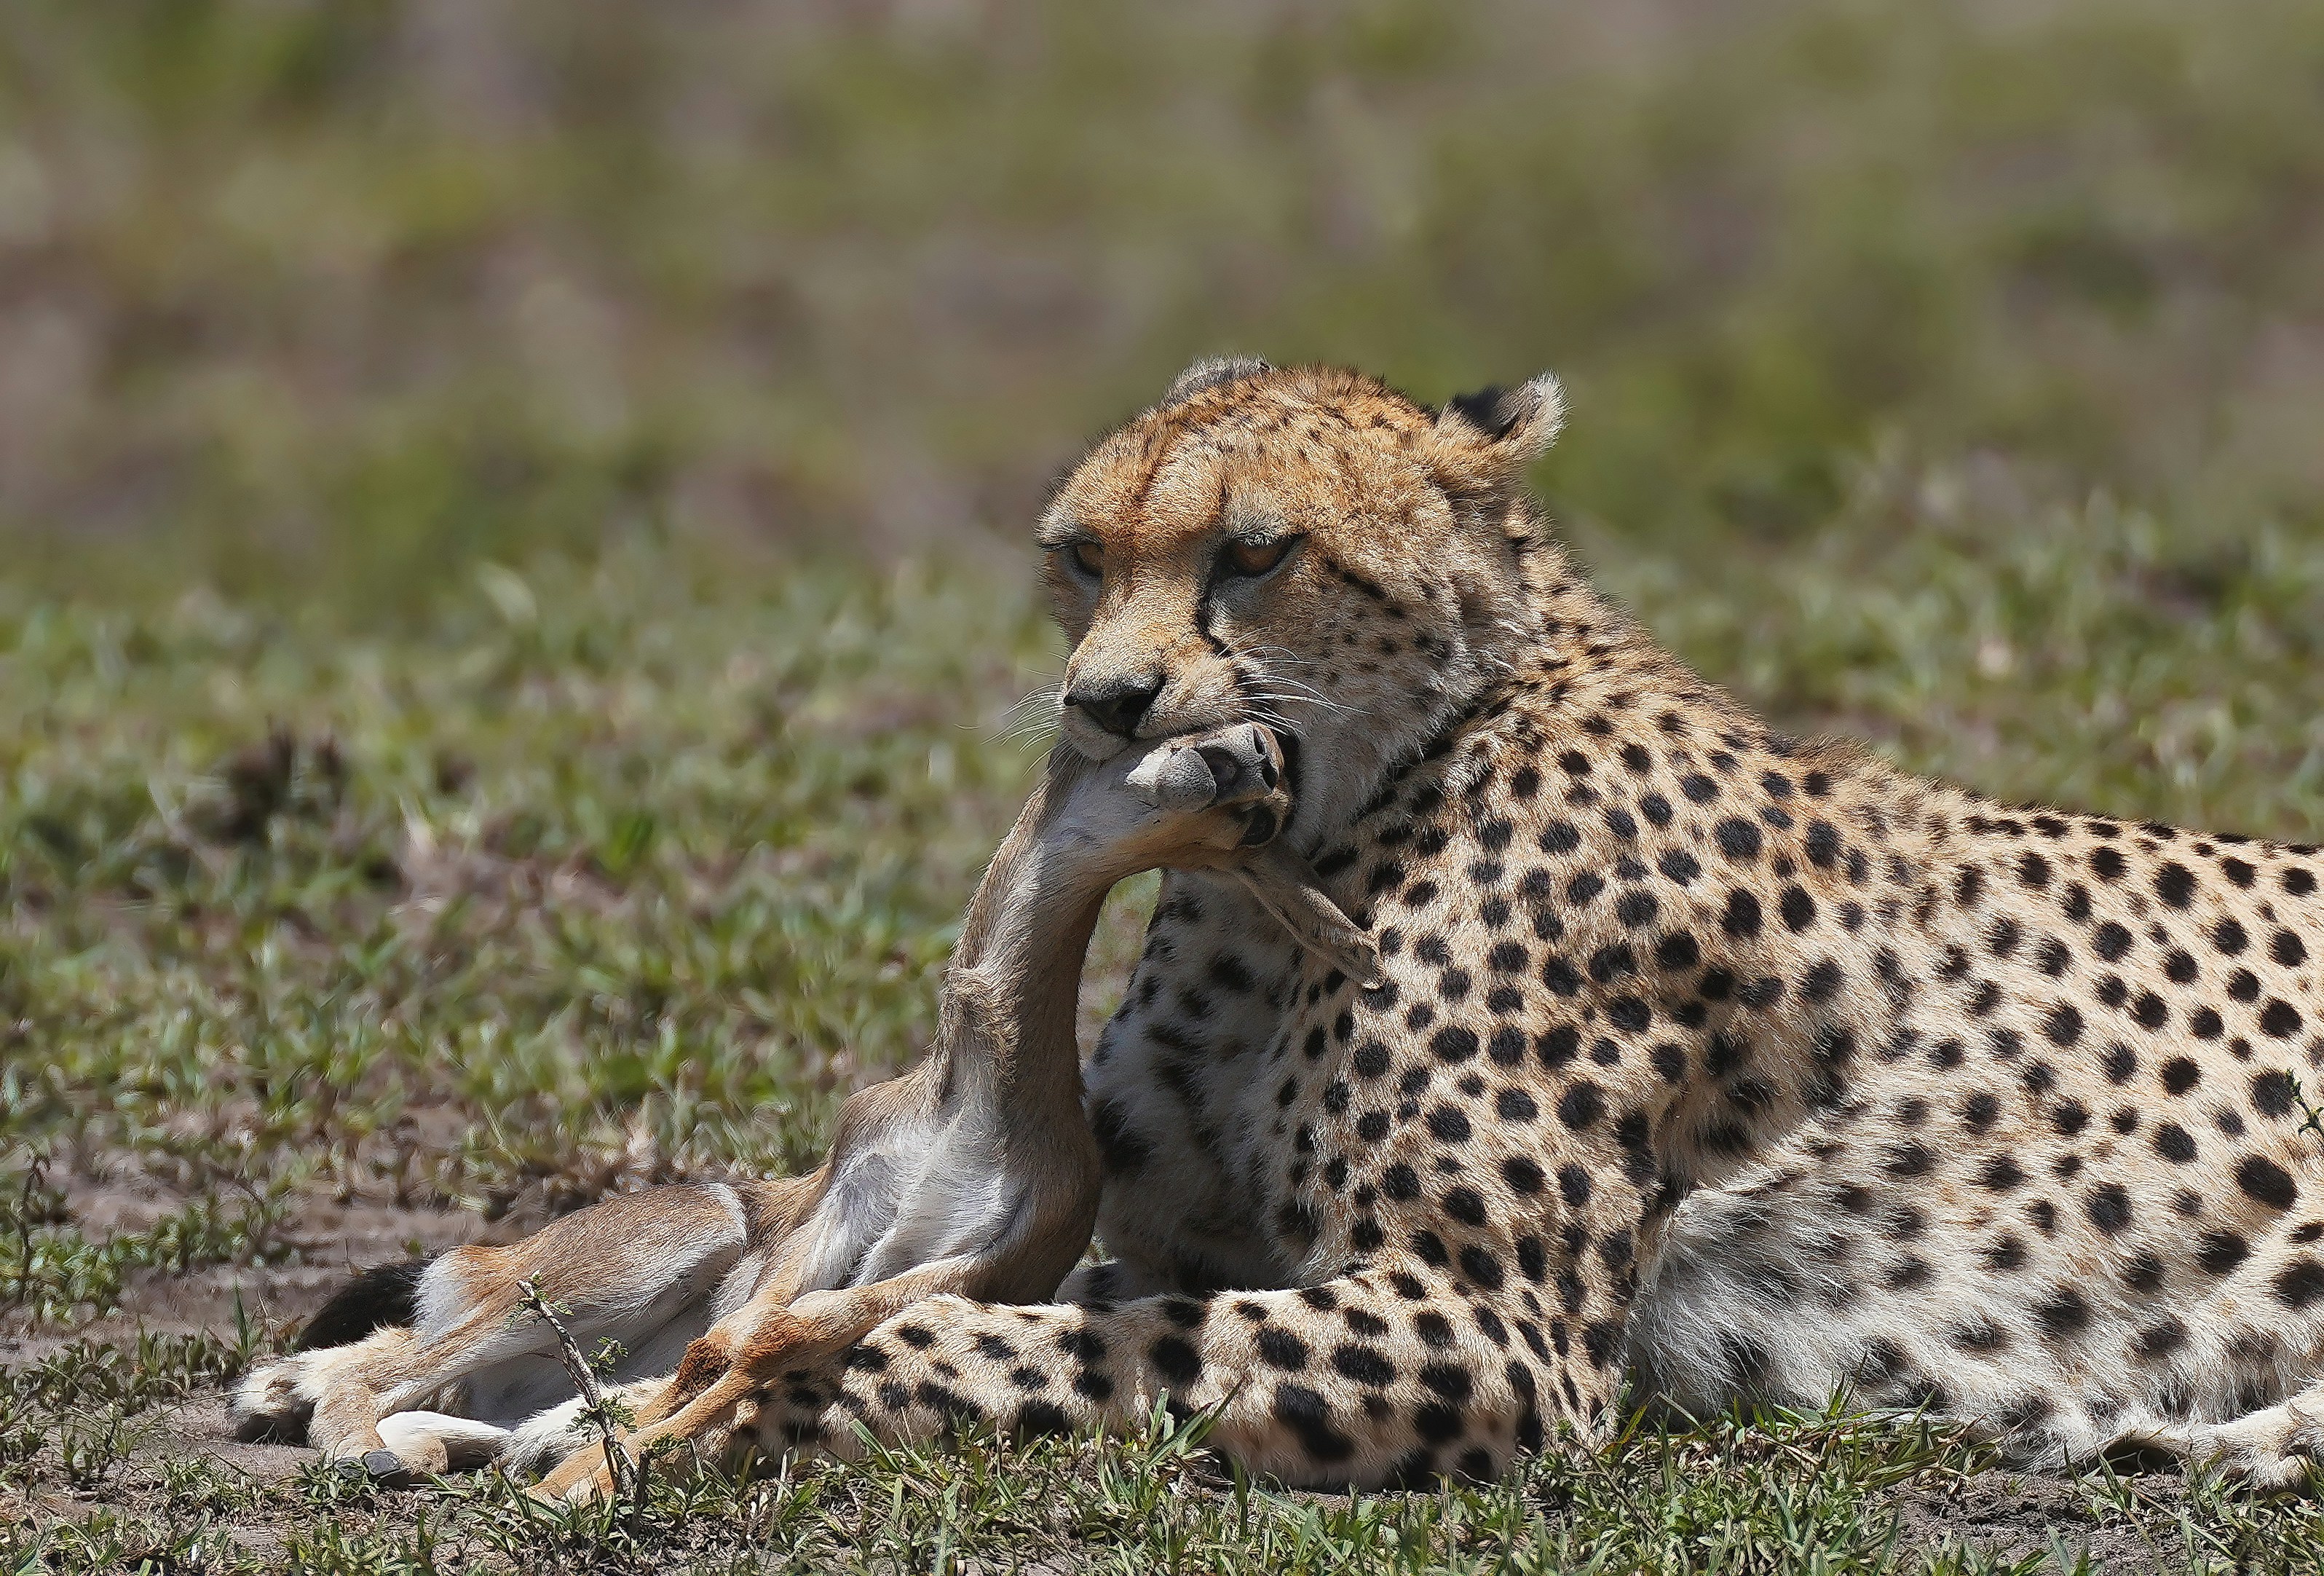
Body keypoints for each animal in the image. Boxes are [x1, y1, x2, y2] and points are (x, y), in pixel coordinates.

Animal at [515, 357, 2324, 1492]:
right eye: (1083, 556)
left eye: (1255, 554)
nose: (1107, 703)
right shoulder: (1187, 1232)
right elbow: (1064, 1291)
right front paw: (579, 1407)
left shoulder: (1497, 1329)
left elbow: (1037, 1336)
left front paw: (740, 1402)